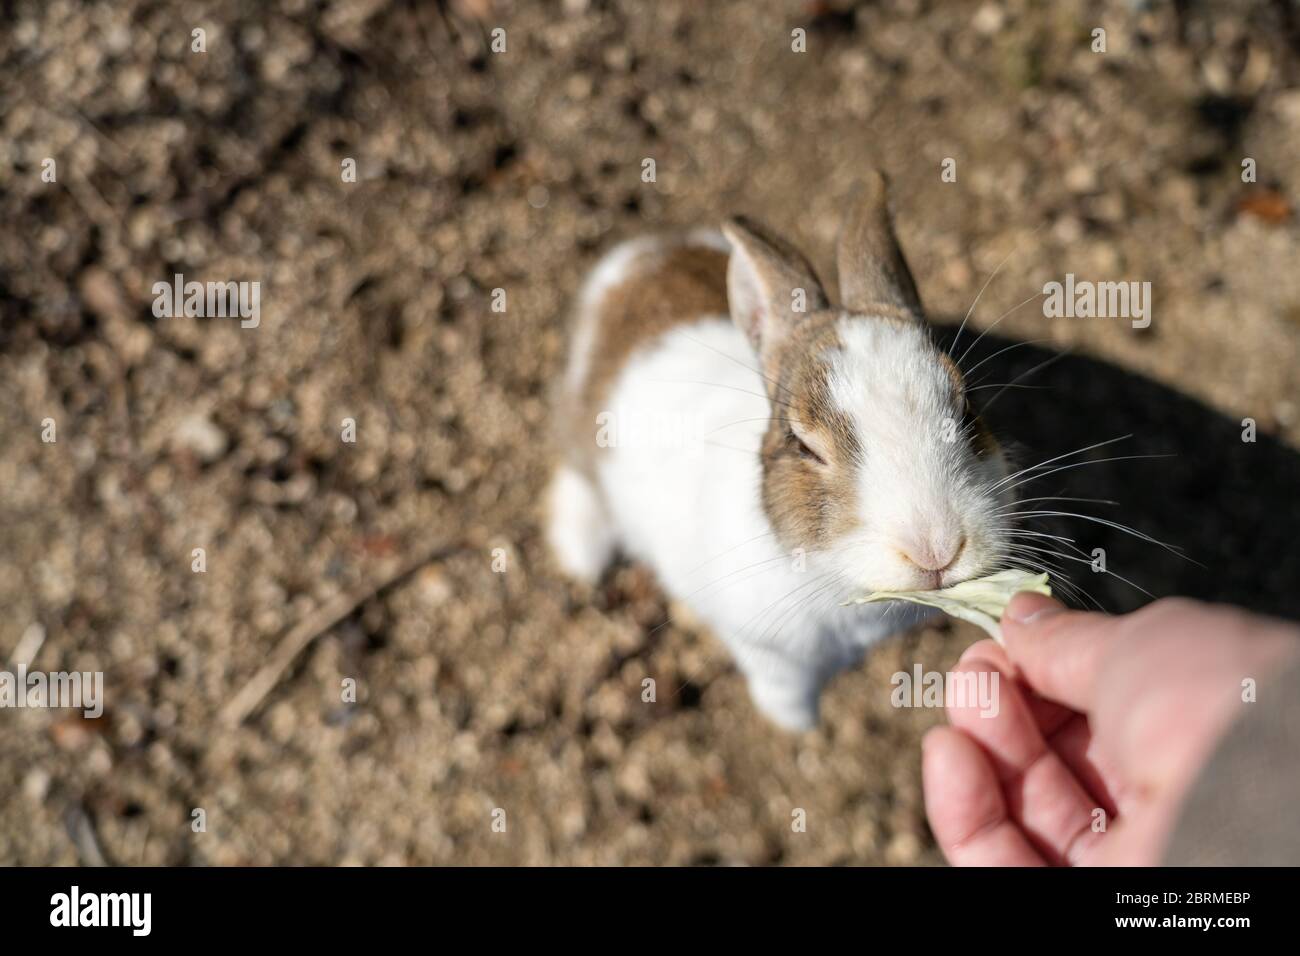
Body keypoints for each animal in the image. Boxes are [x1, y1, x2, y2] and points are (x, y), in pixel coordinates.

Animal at [546, 171, 1014, 731]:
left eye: (966, 406)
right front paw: (802, 726)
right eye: (803, 445)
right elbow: (784, 690)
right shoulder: (767, 651)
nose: (936, 550)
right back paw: (581, 555)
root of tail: (634, 260)